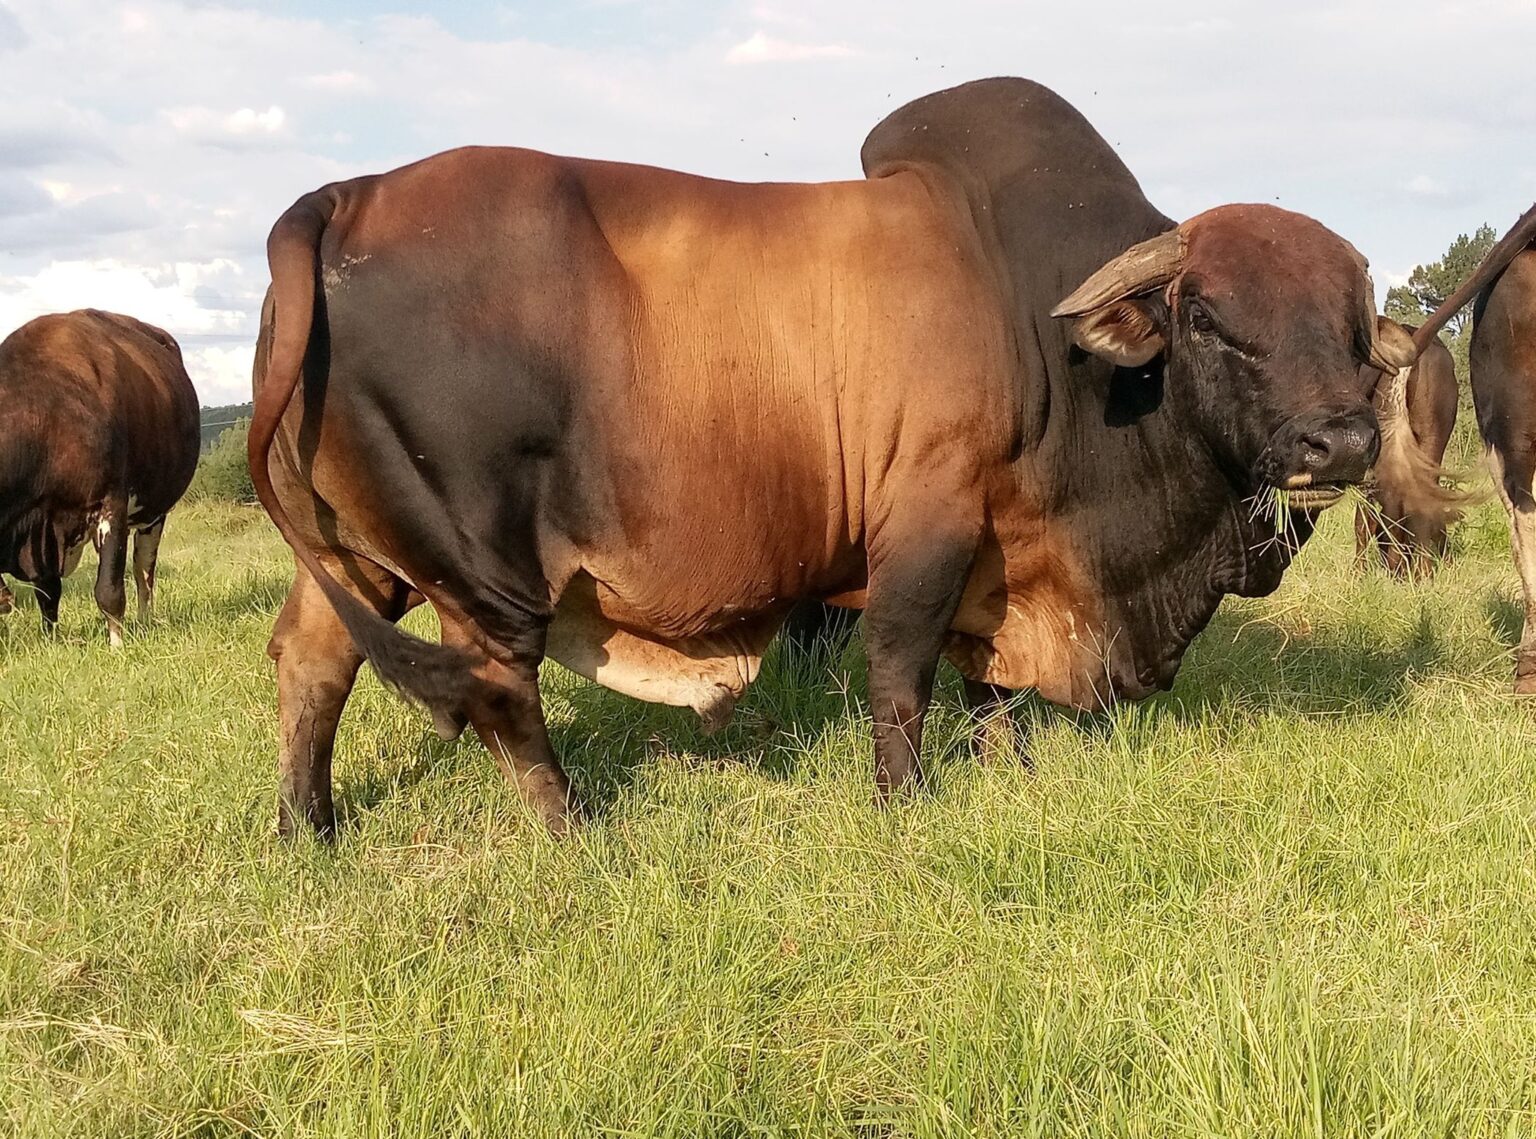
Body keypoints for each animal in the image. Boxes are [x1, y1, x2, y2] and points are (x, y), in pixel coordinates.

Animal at [0, 310, 200, 644]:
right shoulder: (43, 530)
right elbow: (48, 592)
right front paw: (51, 640)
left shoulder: (111, 501)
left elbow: (109, 589)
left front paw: (116, 644)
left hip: (153, 511)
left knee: (143, 569)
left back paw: (145, 621)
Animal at [249, 77, 1440, 840]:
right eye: (1209, 320)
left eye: (1347, 324)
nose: (1338, 437)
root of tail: (340, 198)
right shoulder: (927, 522)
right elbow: (903, 672)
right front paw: (903, 805)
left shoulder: (998, 556)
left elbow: (989, 689)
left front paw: (1009, 774)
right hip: (483, 562)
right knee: (500, 694)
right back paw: (575, 831)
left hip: (367, 552)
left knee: (313, 657)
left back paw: (309, 826)